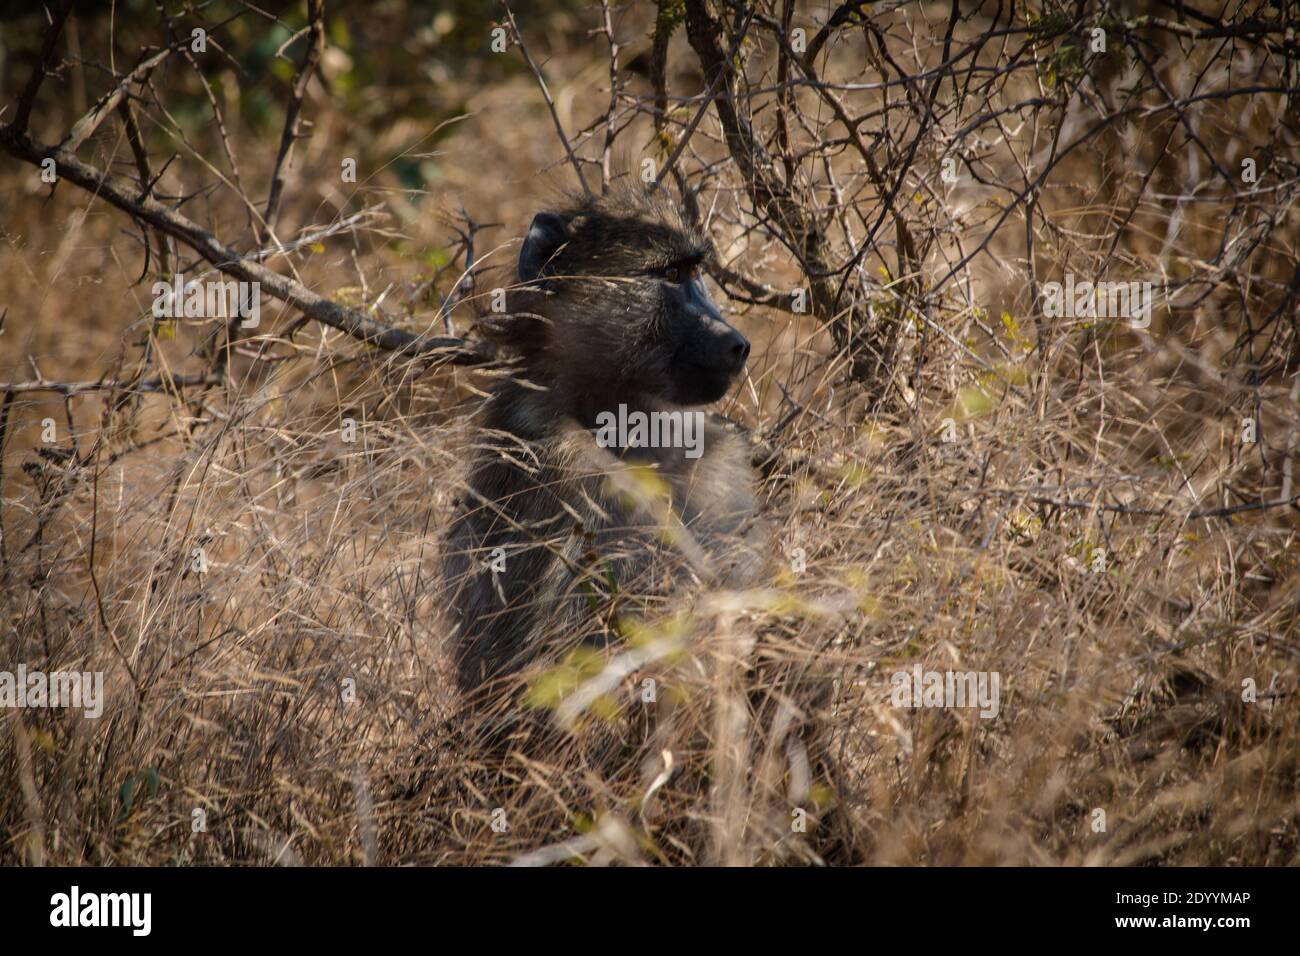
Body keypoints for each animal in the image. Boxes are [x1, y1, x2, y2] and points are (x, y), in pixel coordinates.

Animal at [441, 188, 761, 704]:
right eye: (670, 275)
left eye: (695, 273)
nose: (736, 343)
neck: (623, 422)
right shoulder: (570, 469)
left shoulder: (718, 455)